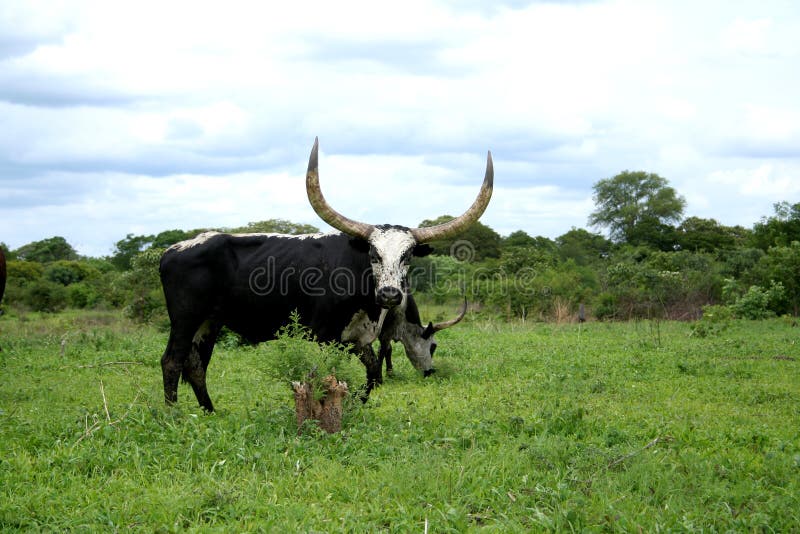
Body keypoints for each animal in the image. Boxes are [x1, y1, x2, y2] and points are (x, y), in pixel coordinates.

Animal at [160, 138, 493, 411]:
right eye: (373, 254)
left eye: (408, 255)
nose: (389, 294)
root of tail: (172, 250)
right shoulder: (325, 335)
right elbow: (326, 374)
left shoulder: (358, 338)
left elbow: (372, 372)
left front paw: (359, 403)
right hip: (186, 319)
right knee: (173, 361)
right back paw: (173, 415)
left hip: (210, 322)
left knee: (196, 364)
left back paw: (209, 412)